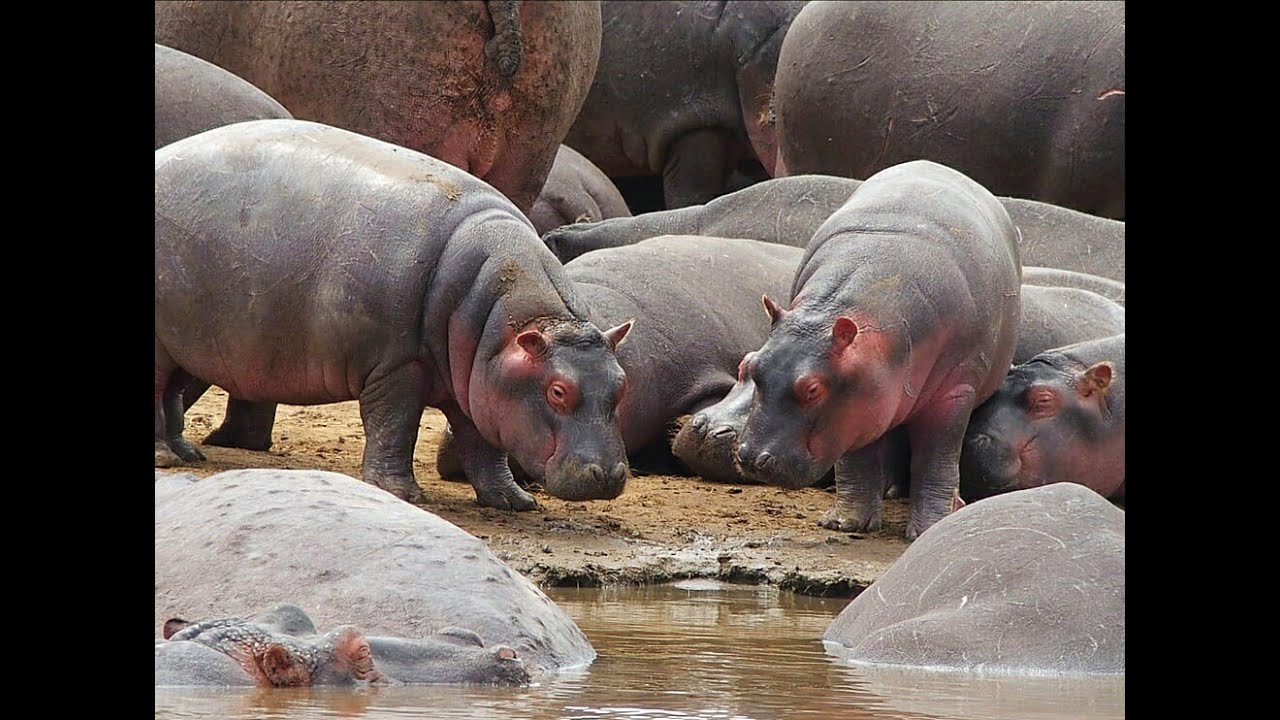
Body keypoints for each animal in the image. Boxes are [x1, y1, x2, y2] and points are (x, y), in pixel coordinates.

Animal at [155, 120, 633, 509]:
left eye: (621, 386)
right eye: (557, 390)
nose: (609, 475)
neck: (506, 329)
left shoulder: (475, 381)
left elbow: (482, 444)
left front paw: (513, 502)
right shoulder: (396, 365)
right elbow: (395, 425)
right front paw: (402, 493)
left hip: (185, 343)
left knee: (171, 393)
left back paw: (187, 452)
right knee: (157, 391)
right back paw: (165, 456)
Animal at [730, 160, 1021, 540]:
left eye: (813, 389)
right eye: (750, 366)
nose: (751, 457)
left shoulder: (954, 392)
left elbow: (936, 456)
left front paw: (930, 526)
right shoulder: (859, 402)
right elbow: (857, 456)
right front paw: (844, 523)